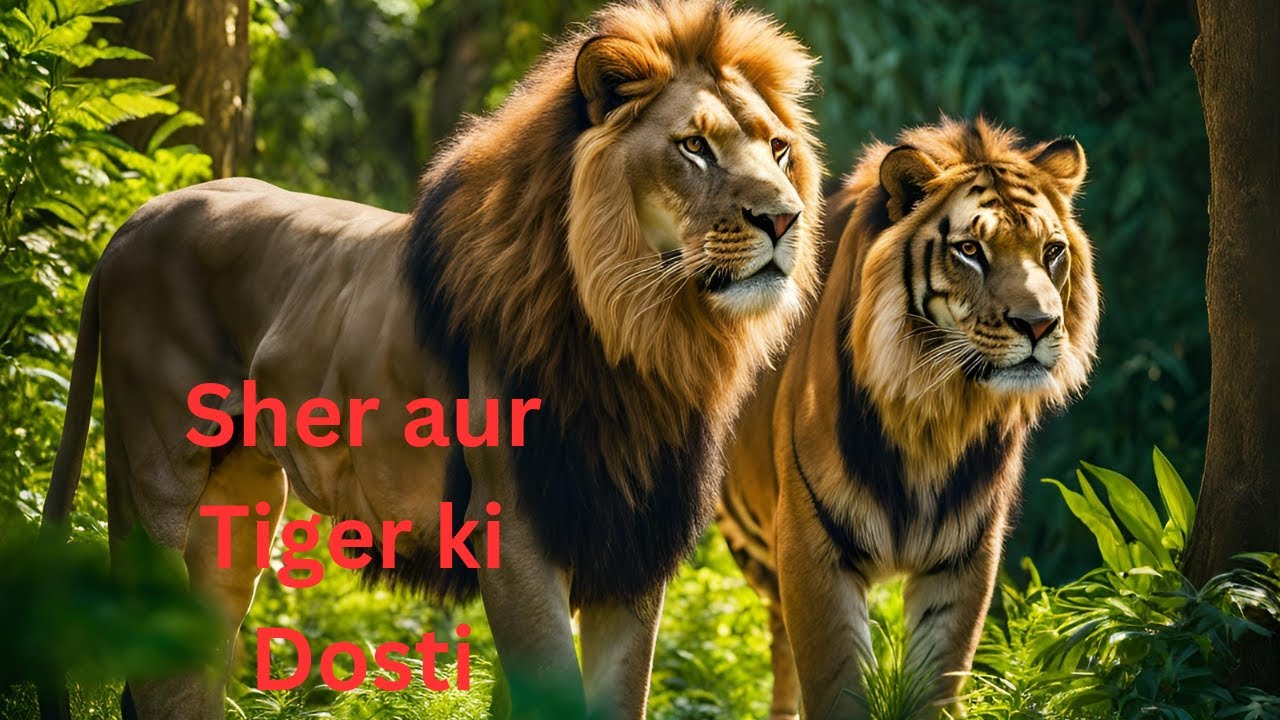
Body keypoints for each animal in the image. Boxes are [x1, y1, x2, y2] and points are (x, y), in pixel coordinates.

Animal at [37, 2, 822, 718]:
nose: (785, 218)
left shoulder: (628, 543)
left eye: (779, 149)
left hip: (236, 507)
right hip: (157, 479)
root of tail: (132, 223)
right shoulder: (515, 537)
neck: (645, 336)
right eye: (694, 146)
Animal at [717, 118, 1100, 718]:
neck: (934, 411)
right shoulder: (812, 547)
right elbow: (835, 685)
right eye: (970, 250)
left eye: (1052, 250)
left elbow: (936, 682)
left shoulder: (965, 555)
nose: (1039, 324)